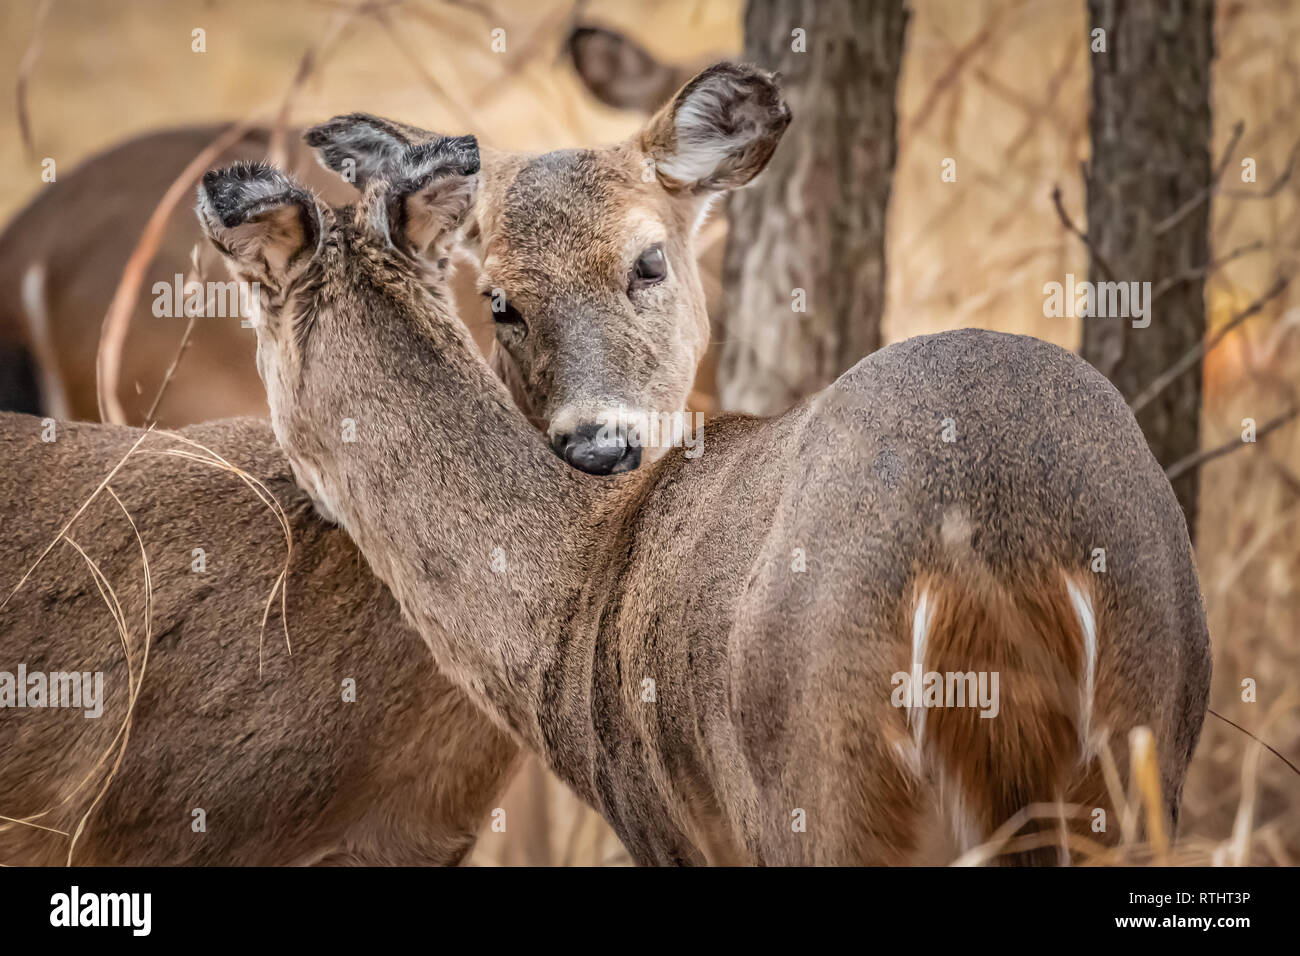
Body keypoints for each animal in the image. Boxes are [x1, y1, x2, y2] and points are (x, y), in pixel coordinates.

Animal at [200, 112, 1212, 866]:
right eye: (501, 303)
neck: (576, 591)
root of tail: (997, 549)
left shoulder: (664, 821)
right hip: (1146, 746)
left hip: (825, 783)